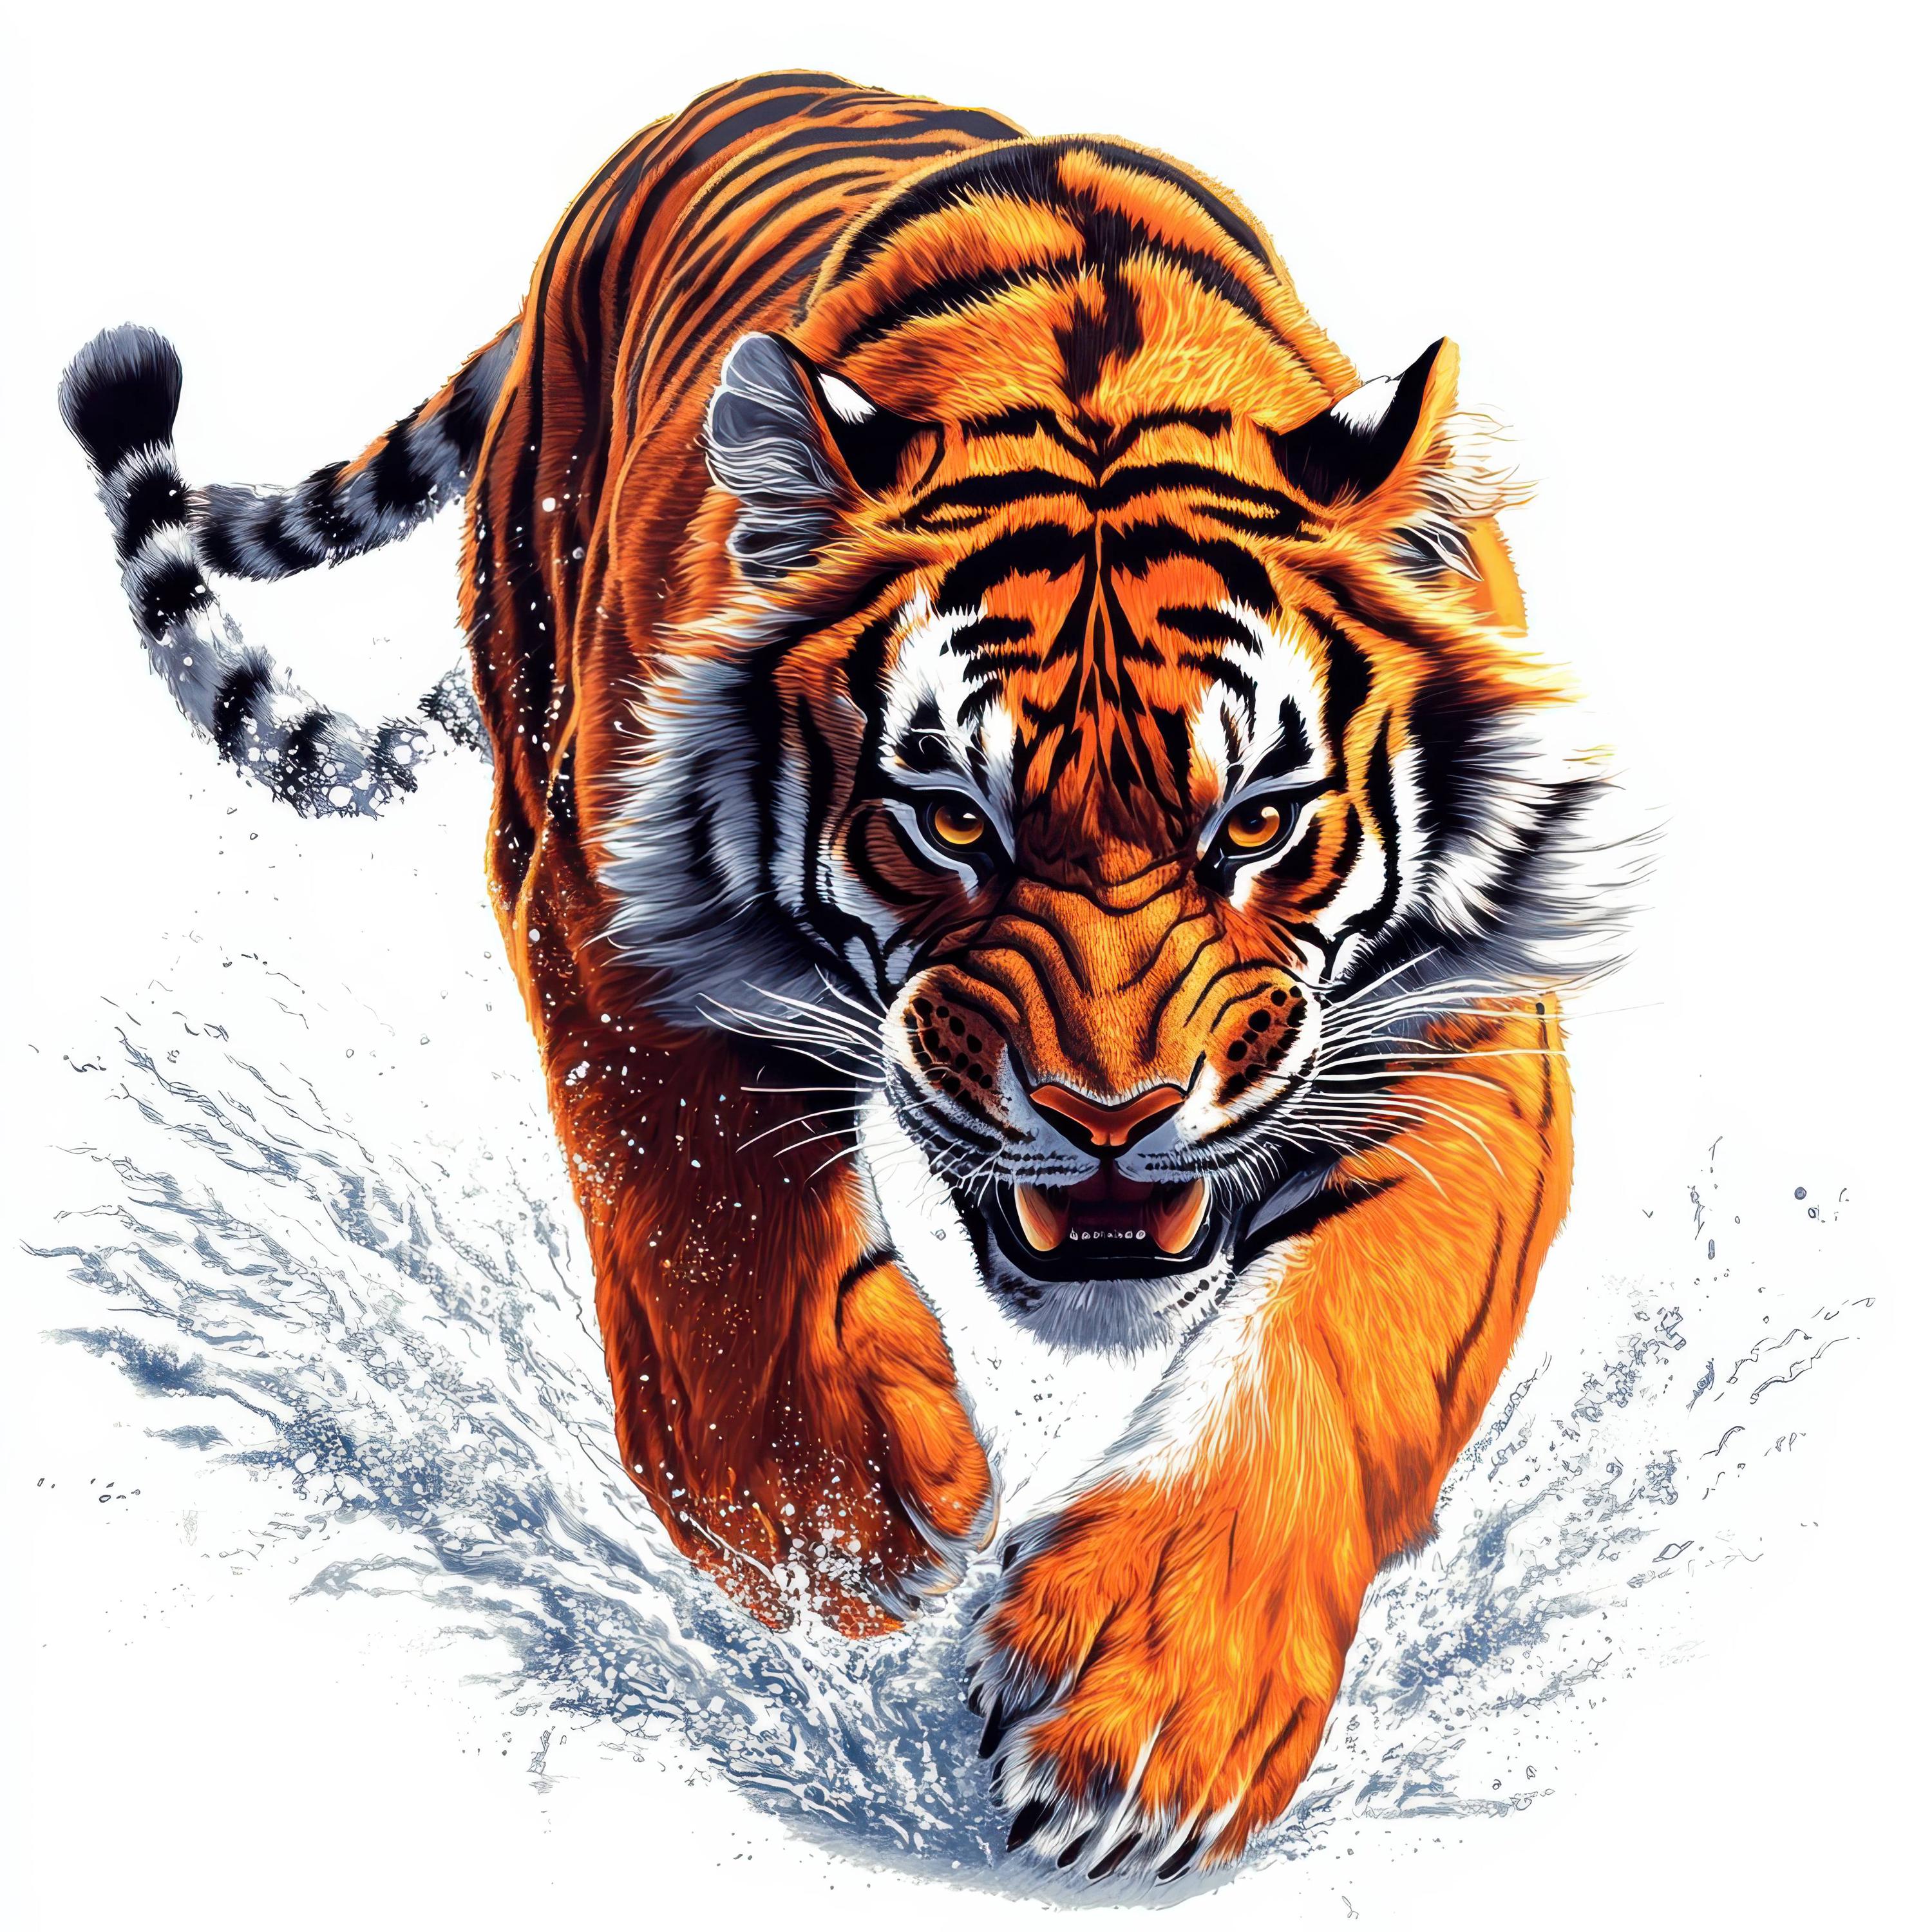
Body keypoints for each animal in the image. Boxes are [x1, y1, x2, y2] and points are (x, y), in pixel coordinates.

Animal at [60, 70, 1608, 1882]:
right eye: (950, 818)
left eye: (1255, 822)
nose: (1112, 1117)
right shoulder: (606, 902)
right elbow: (709, 1214)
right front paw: (840, 1522)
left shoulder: (1462, 1023)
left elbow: (1343, 1334)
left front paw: (1149, 1711)